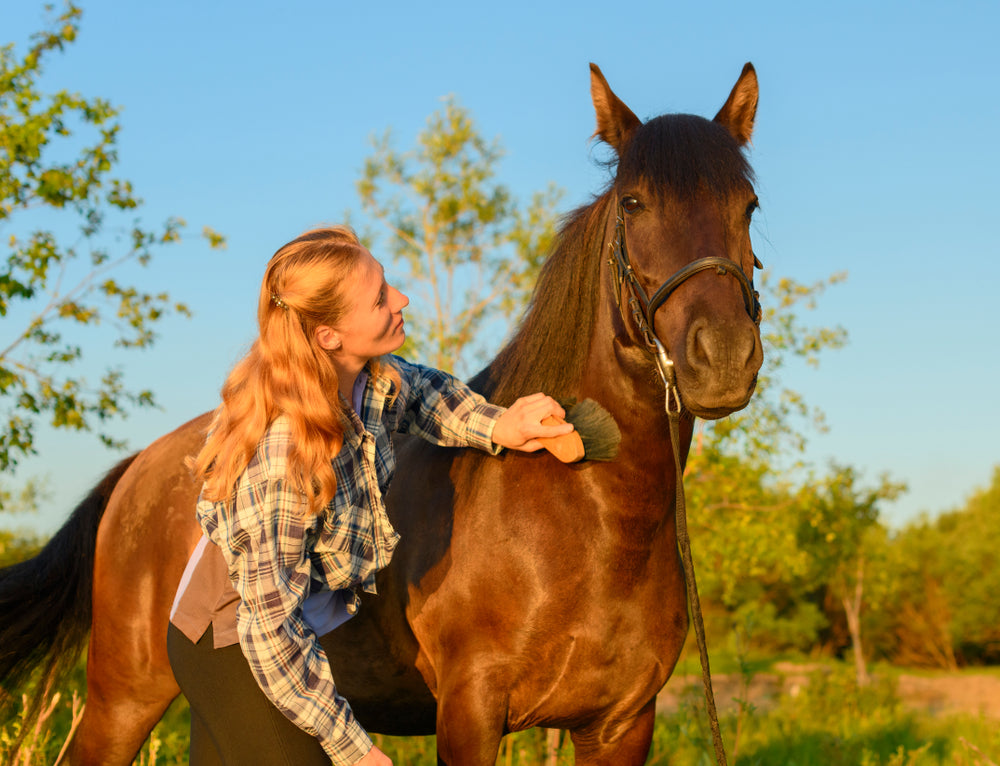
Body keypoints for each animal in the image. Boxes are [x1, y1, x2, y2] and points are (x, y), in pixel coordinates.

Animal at [0, 62, 763, 765]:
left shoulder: (620, 725)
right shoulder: (470, 714)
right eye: (634, 202)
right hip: (124, 698)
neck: (585, 518)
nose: (723, 355)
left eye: (749, 204)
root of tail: (140, 468)